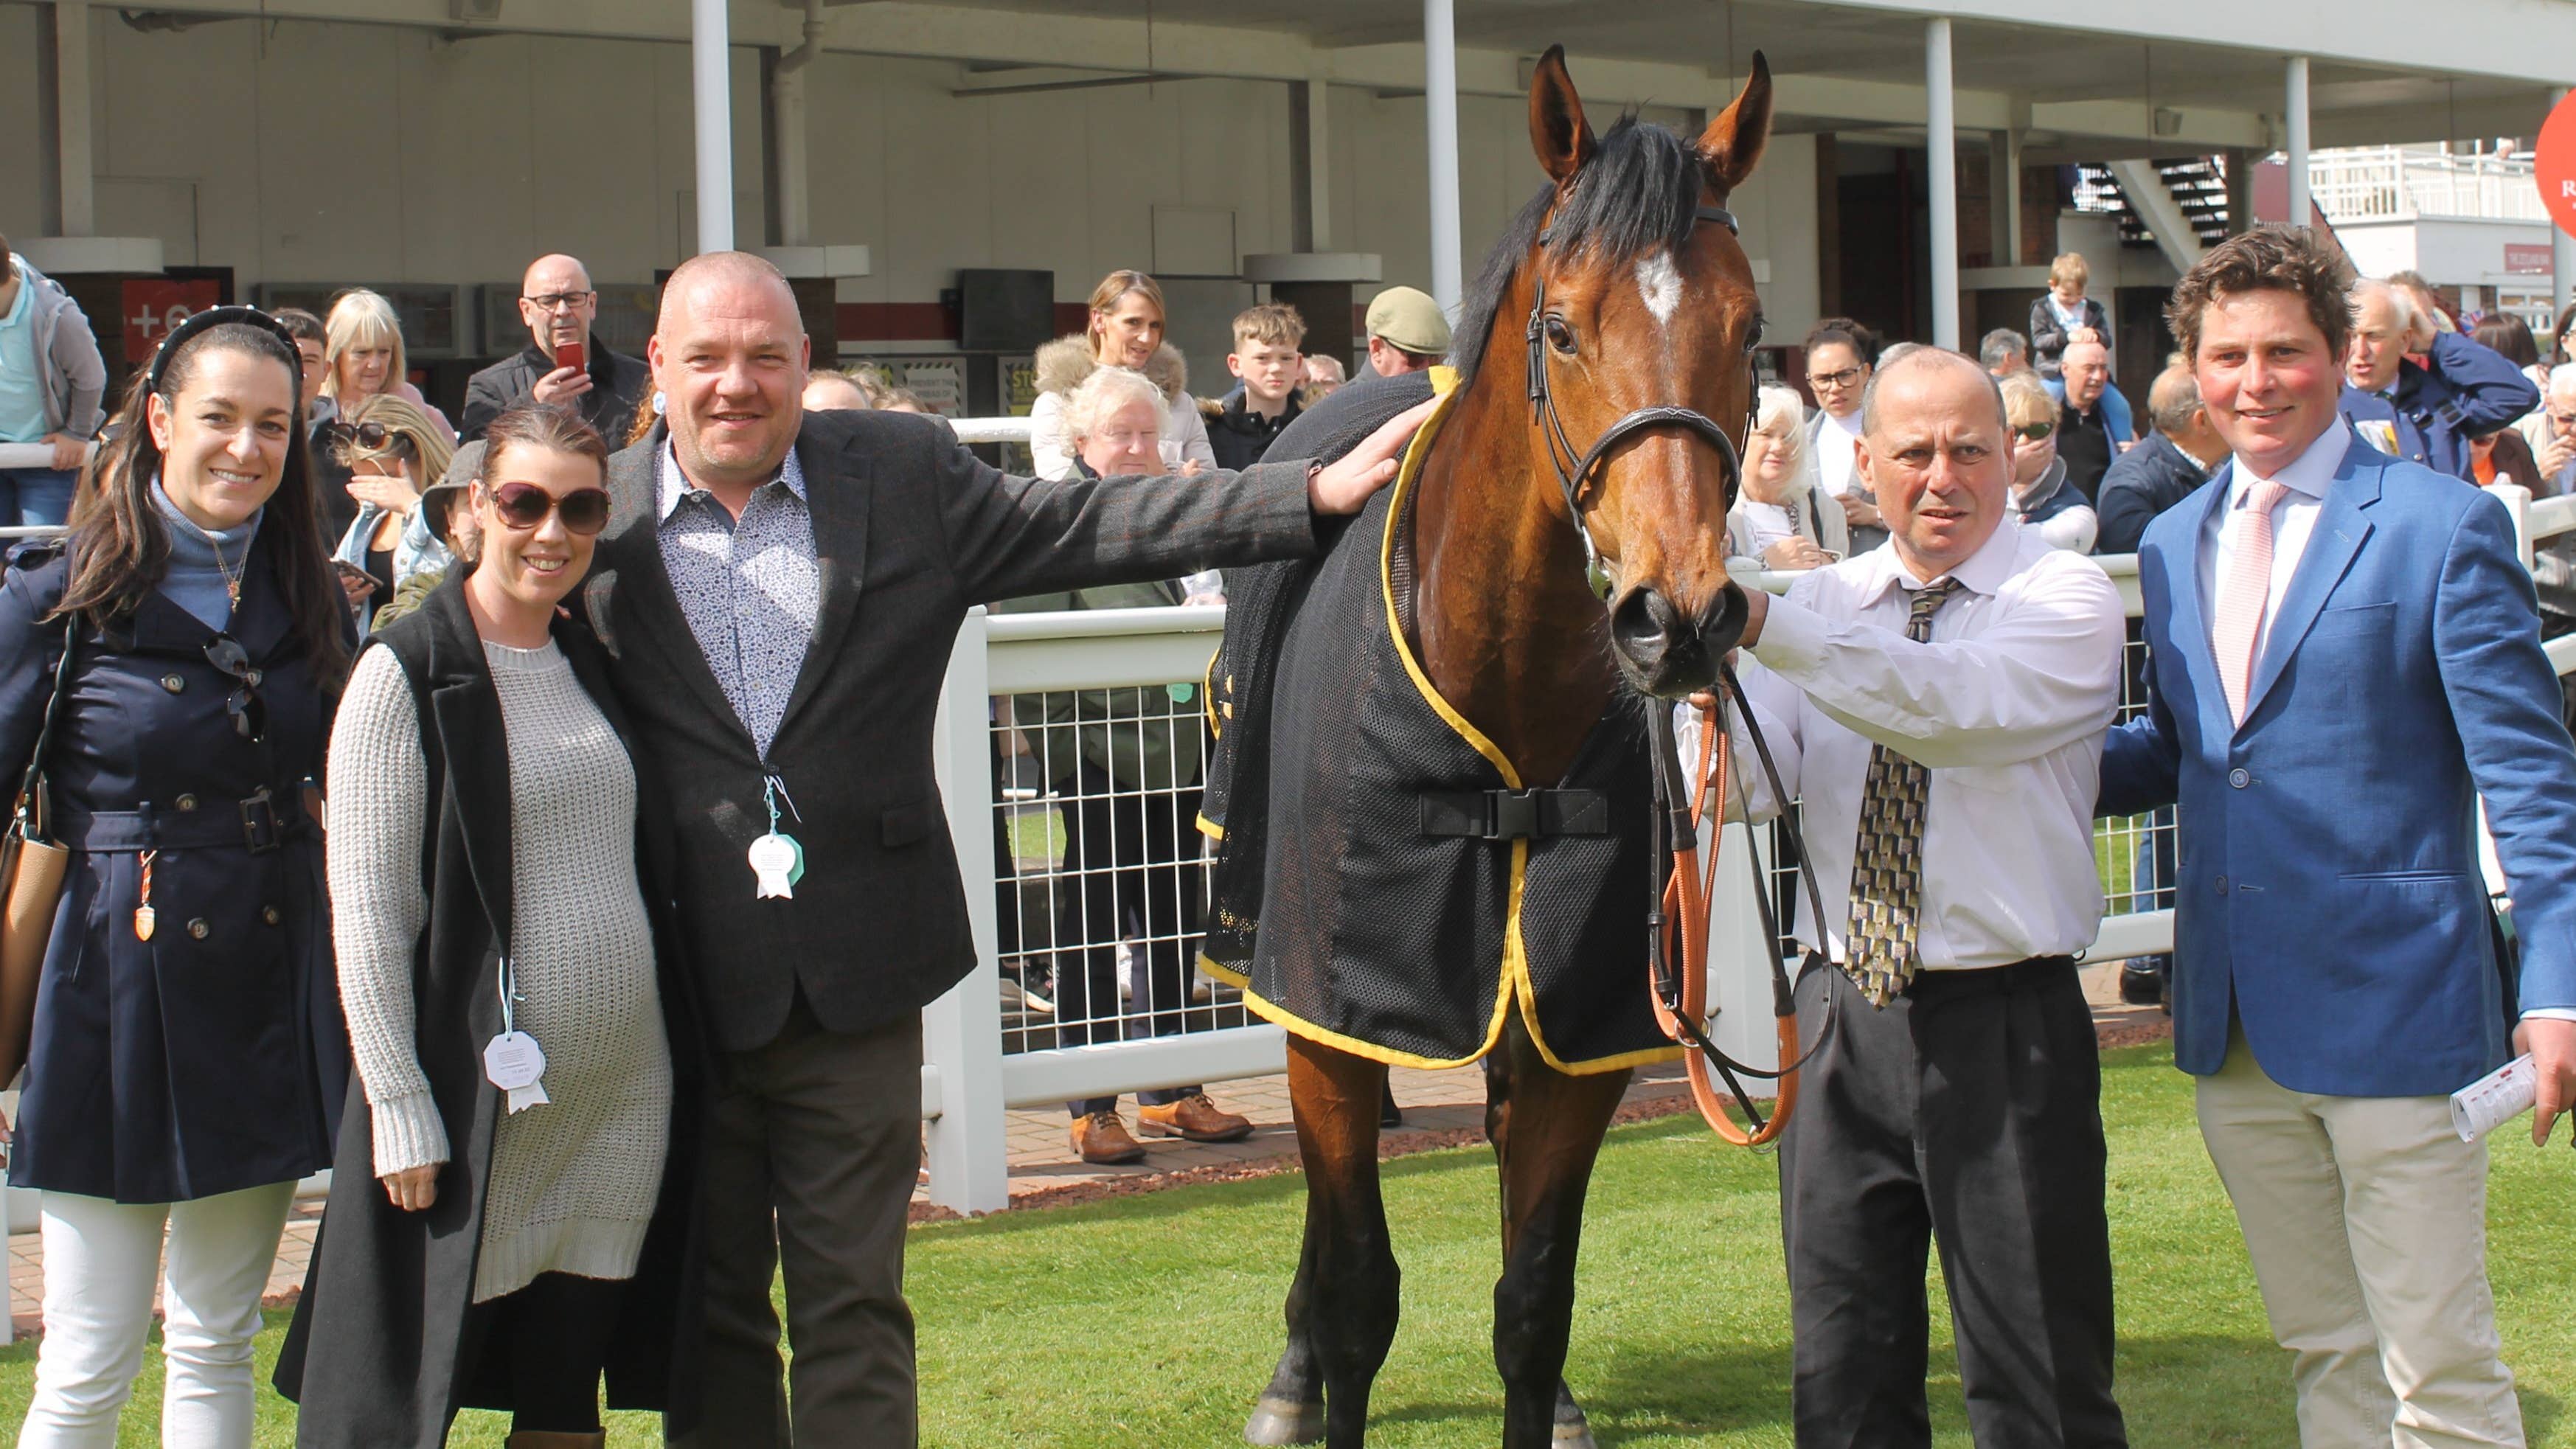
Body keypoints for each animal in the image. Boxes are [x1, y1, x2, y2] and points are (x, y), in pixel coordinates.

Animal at [1206, 45, 1775, 1449]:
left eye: (1748, 331)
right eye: (1561, 326)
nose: (1679, 617)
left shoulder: (1576, 1024)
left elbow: (1532, 1302)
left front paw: (1544, 1380)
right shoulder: (1338, 1007)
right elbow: (1358, 1291)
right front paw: (1313, 1368)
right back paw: (1289, 1374)